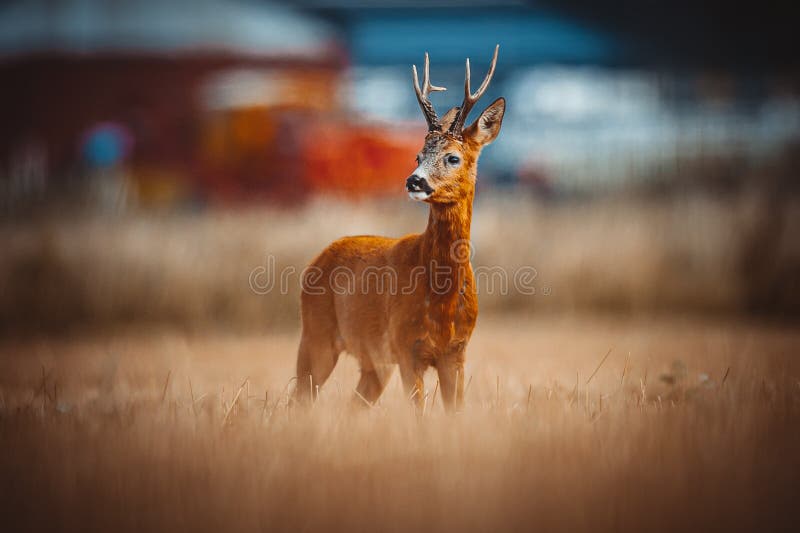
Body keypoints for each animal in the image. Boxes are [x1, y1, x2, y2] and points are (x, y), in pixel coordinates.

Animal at [295, 45, 505, 412]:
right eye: (417, 156)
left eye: (453, 157)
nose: (414, 180)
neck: (441, 302)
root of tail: (319, 257)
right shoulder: (407, 348)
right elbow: (419, 415)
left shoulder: (457, 353)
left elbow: (455, 413)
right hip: (315, 335)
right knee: (297, 399)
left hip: (373, 362)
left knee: (353, 406)